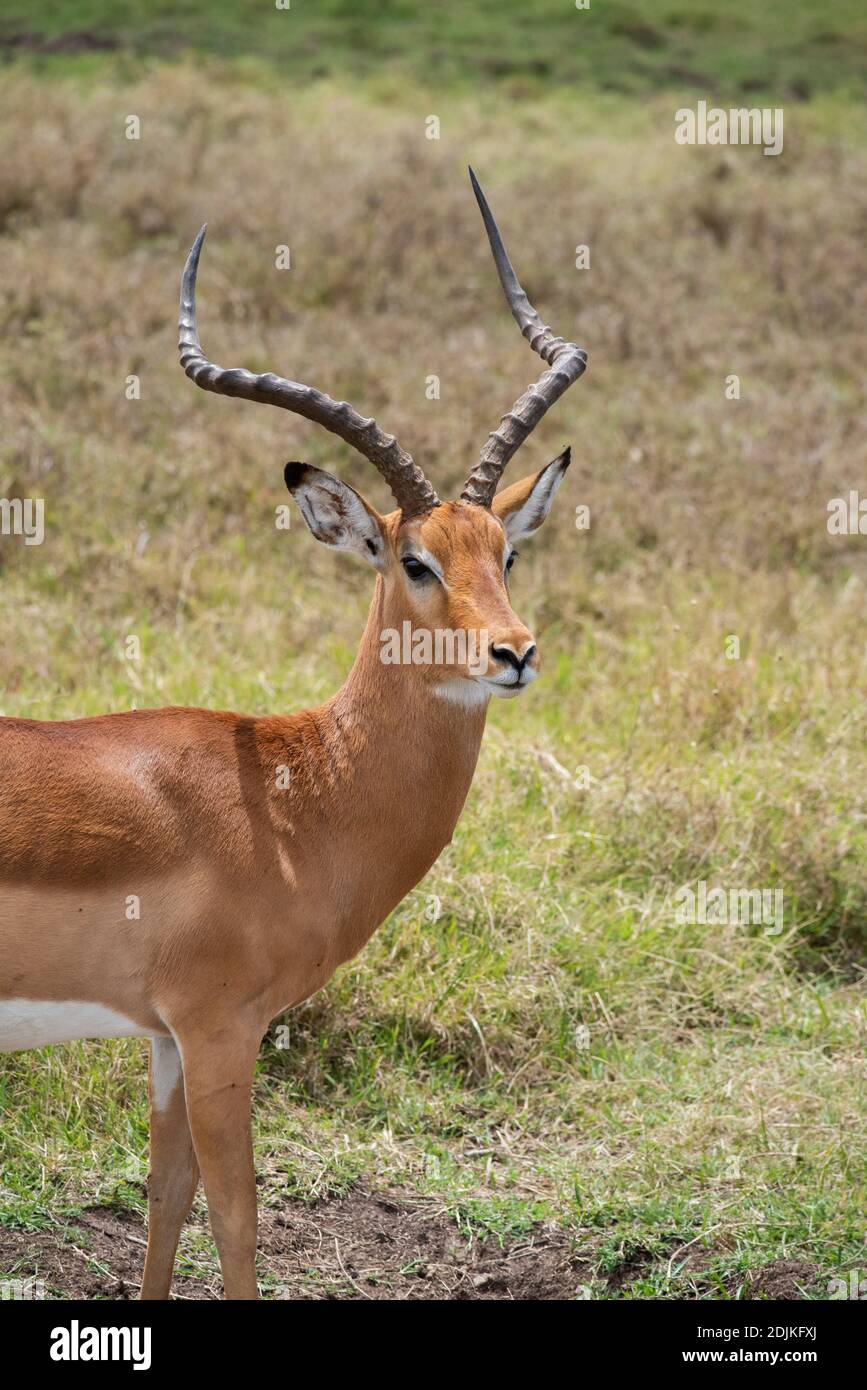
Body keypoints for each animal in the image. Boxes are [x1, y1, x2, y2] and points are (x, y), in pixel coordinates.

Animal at [0, 169, 587, 1299]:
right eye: (413, 559)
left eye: (504, 549)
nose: (514, 653)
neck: (294, 795)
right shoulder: (221, 1028)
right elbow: (237, 1219)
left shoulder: (167, 1039)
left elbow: (164, 1200)